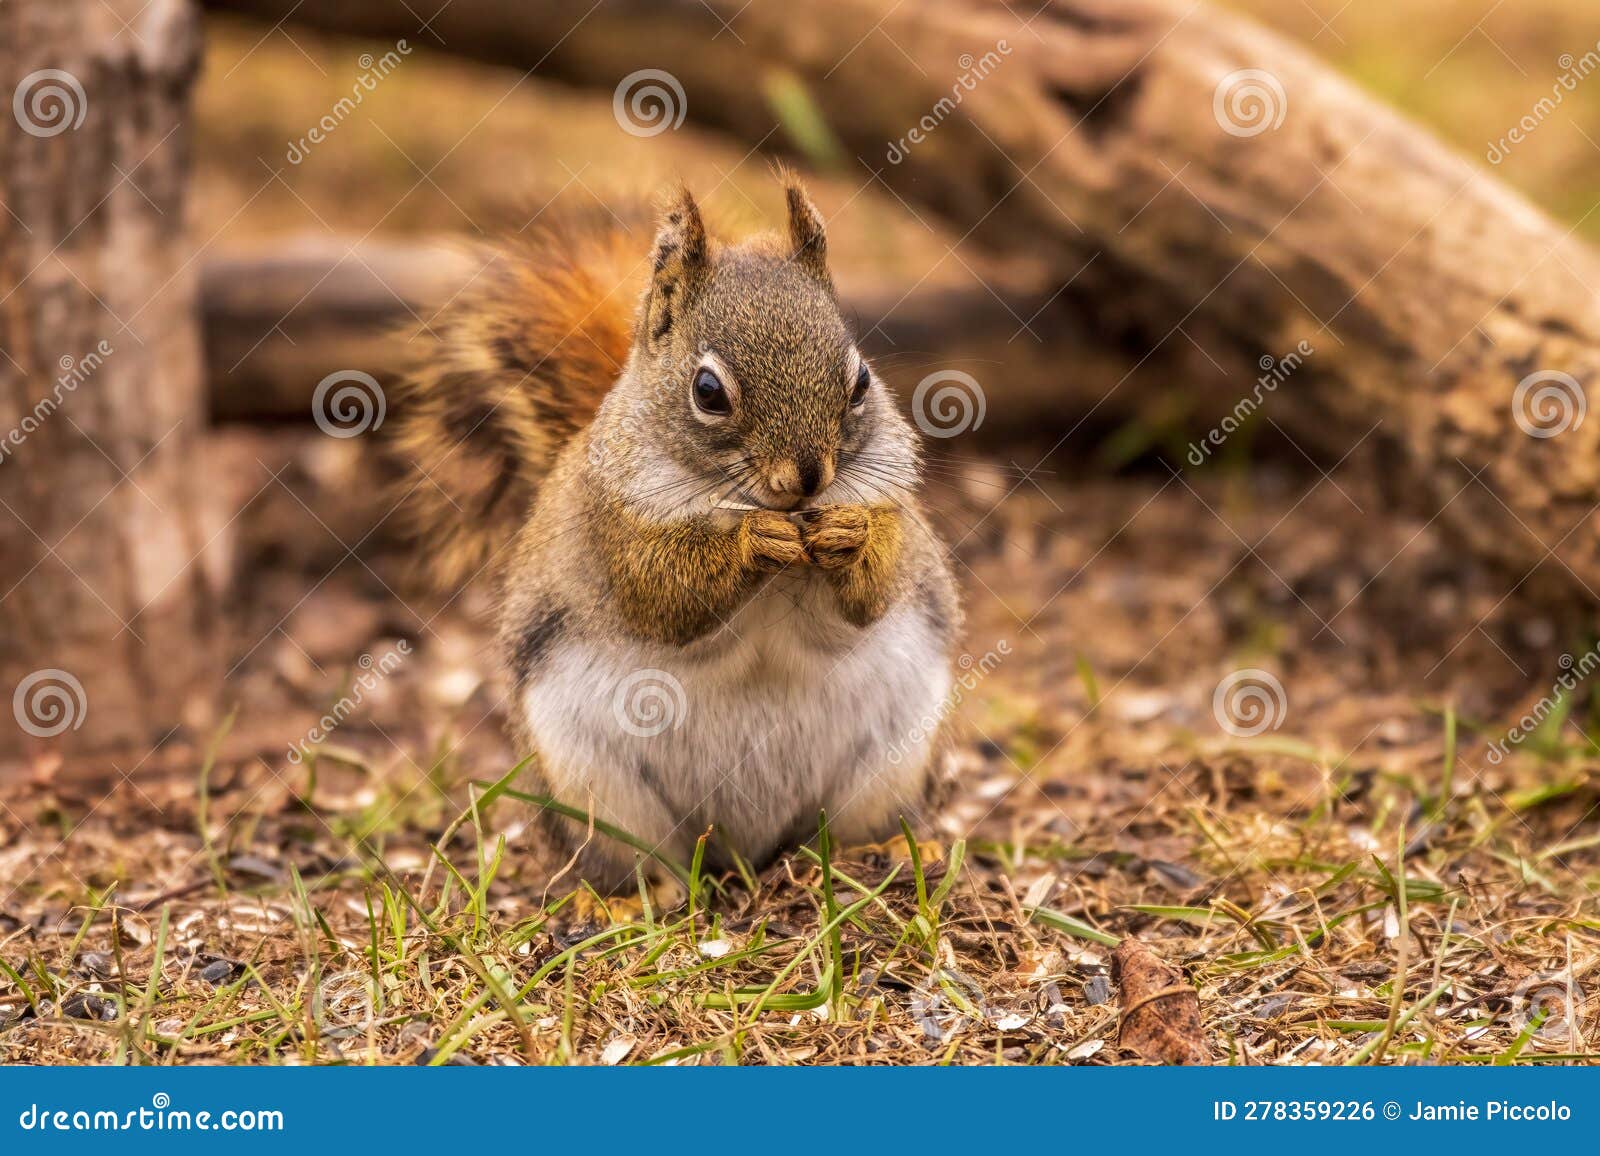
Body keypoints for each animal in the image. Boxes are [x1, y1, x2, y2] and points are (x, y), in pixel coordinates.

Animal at [392, 176, 961, 891]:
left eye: (860, 381)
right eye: (708, 391)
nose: (808, 478)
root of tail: (748, 852)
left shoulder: (891, 505)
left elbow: (875, 590)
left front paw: (850, 535)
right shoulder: (614, 527)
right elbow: (660, 594)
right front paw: (752, 544)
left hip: (892, 758)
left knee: (843, 829)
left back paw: (878, 854)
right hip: (591, 781)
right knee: (634, 859)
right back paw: (630, 897)